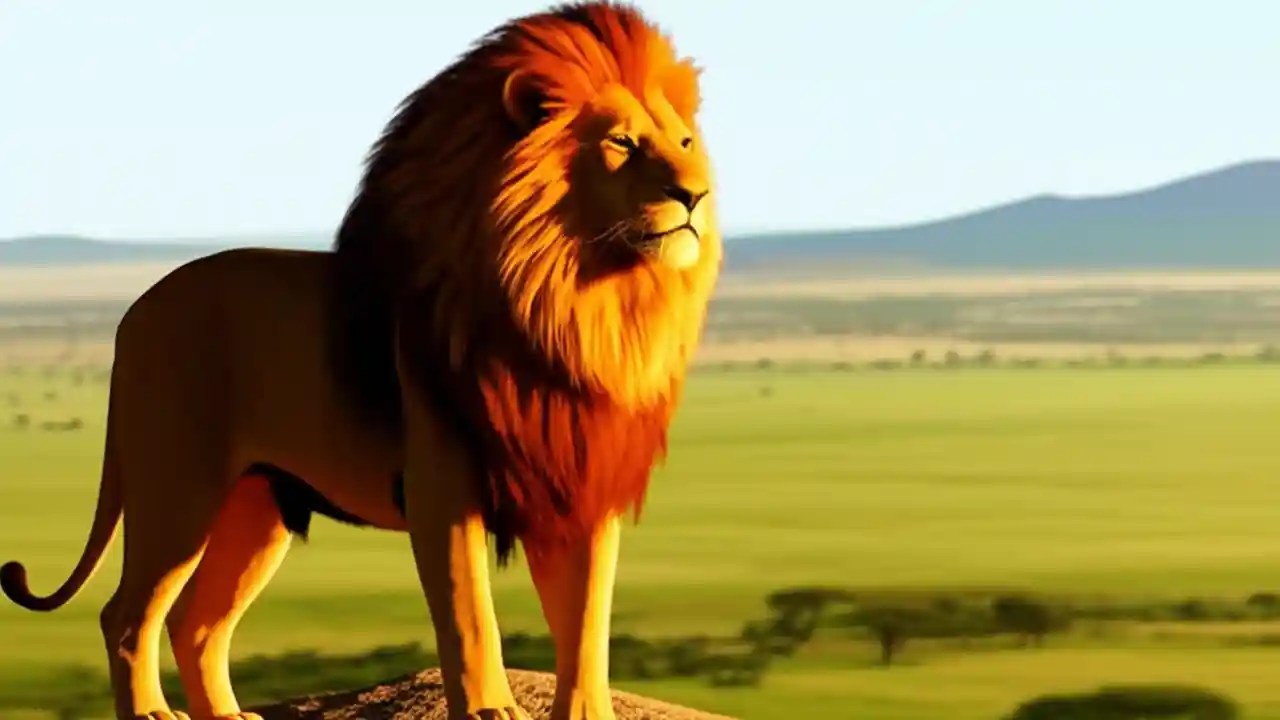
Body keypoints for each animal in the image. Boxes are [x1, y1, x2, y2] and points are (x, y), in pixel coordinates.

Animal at [1, 3, 720, 720]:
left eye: (685, 143)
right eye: (622, 143)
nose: (696, 196)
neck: (579, 300)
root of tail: (134, 312)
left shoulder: (581, 484)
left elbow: (588, 620)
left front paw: (588, 710)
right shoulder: (443, 486)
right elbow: (470, 613)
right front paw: (488, 708)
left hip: (257, 508)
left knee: (195, 622)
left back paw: (230, 714)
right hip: (178, 487)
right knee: (126, 614)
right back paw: (152, 710)